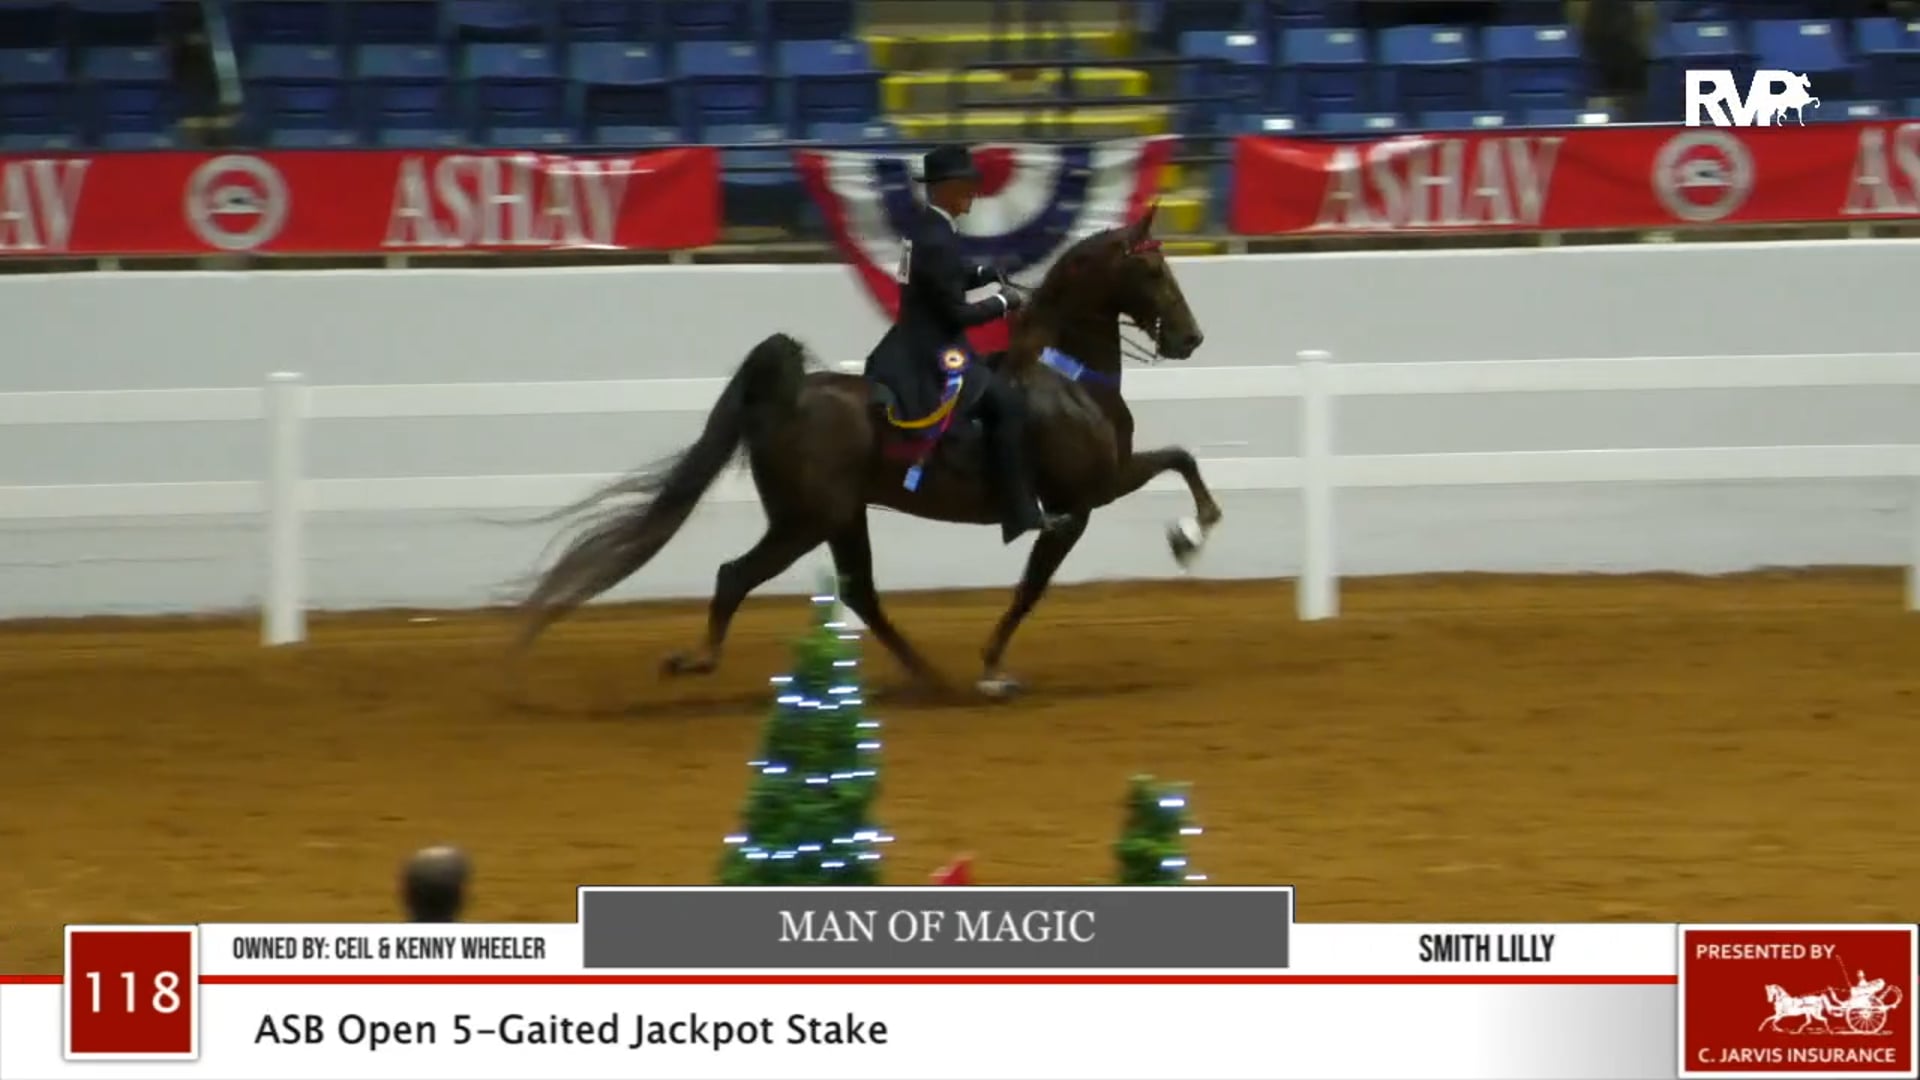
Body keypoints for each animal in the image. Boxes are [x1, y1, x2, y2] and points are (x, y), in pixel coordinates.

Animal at [513, 205, 1219, 697]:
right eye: (1152, 269)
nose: (1190, 337)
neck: (1064, 375)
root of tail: (788, 395)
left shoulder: (1098, 489)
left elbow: (1179, 456)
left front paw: (1190, 533)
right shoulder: (1081, 501)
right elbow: (1031, 588)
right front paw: (993, 668)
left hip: (840, 518)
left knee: (861, 595)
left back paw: (929, 676)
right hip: (805, 521)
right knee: (737, 575)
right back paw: (699, 659)